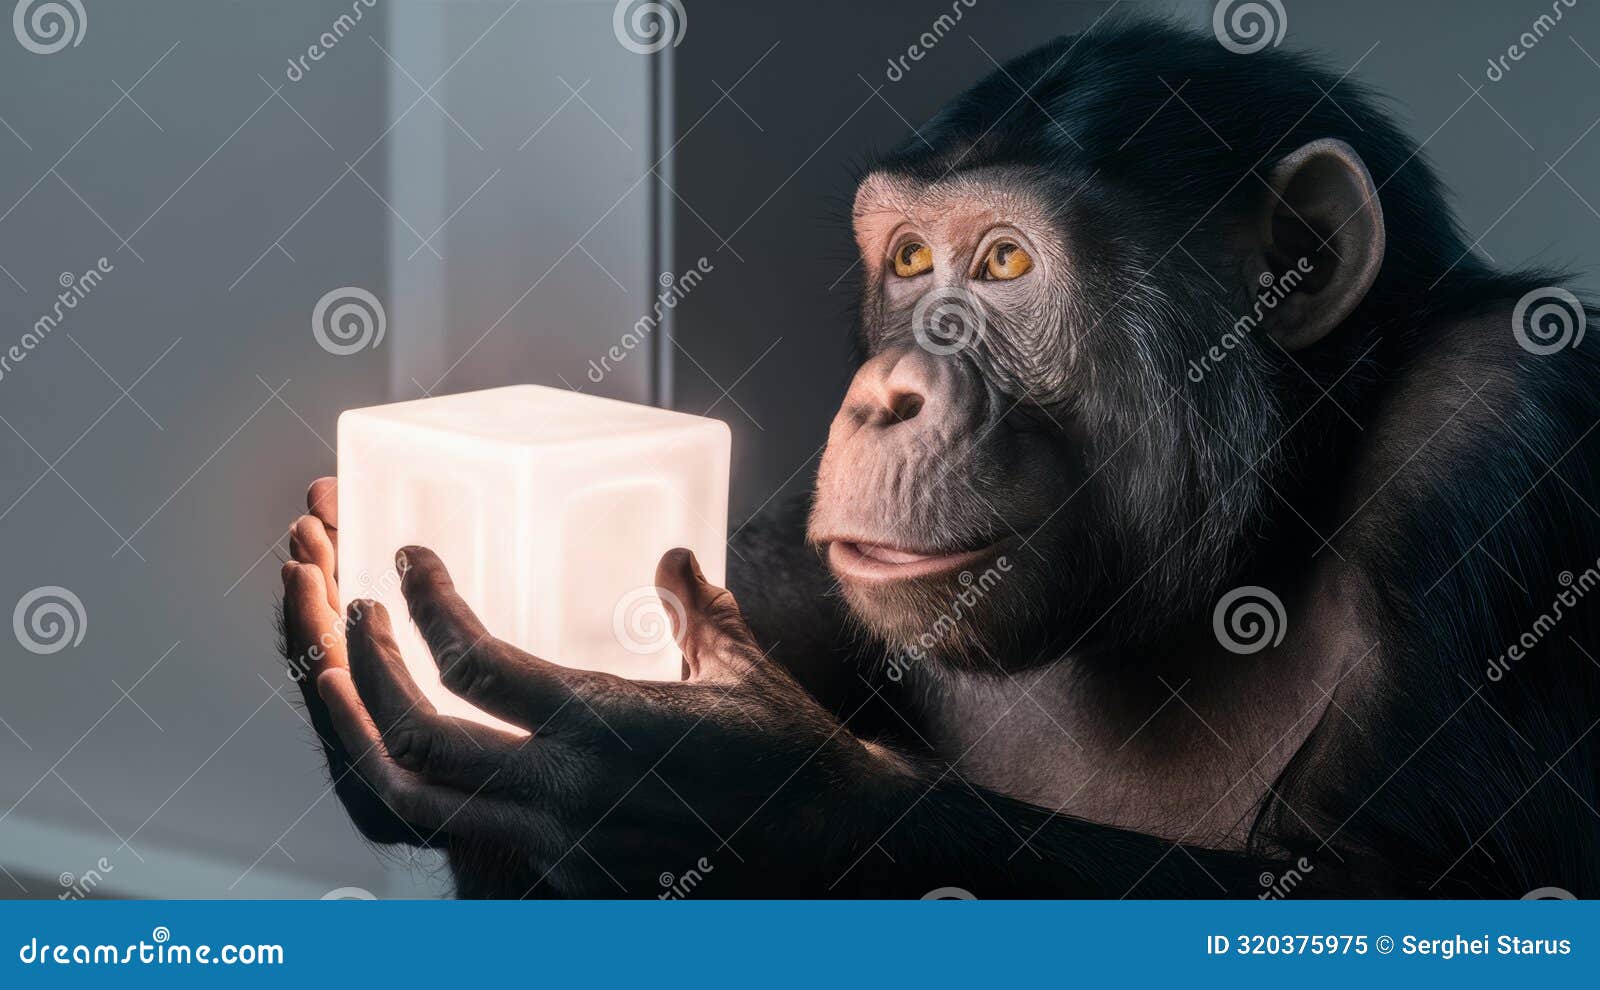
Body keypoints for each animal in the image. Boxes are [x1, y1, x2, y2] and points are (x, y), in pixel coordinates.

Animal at [278, 19, 1600, 898]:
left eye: (1004, 264)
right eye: (910, 260)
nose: (883, 394)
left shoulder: (1506, 438)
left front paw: (741, 792)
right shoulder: (789, 568)